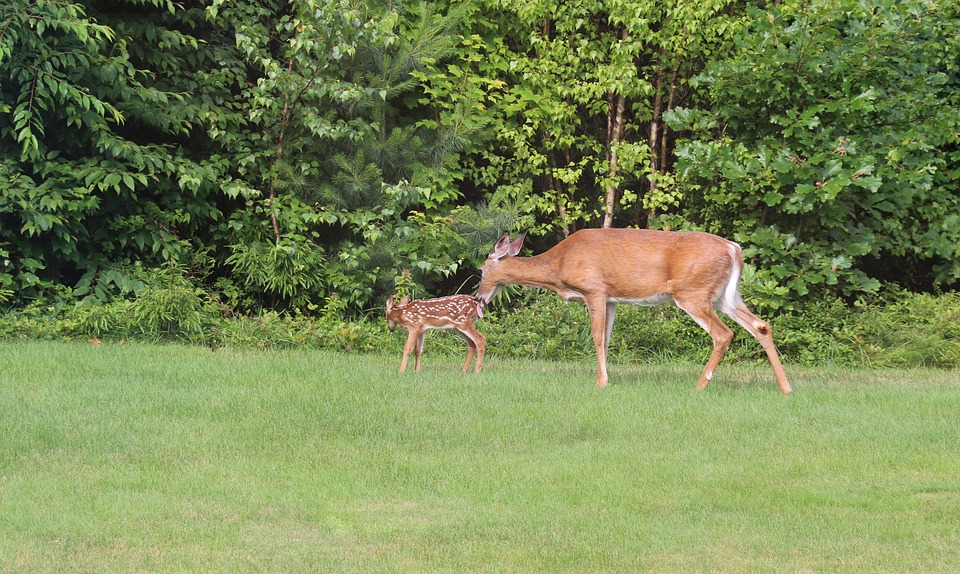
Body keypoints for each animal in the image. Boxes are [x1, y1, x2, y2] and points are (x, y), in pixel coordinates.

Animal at [474, 229, 792, 394]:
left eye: (481, 269)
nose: (478, 298)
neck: (557, 266)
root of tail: (734, 249)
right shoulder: (612, 298)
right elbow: (607, 338)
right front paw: (606, 378)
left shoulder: (595, 289)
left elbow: (596, 337)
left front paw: (601, 382)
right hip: (725, 296)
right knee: (761, 325)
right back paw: (785, 387)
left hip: (692, 293)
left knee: (723, 334)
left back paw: (700, 385)